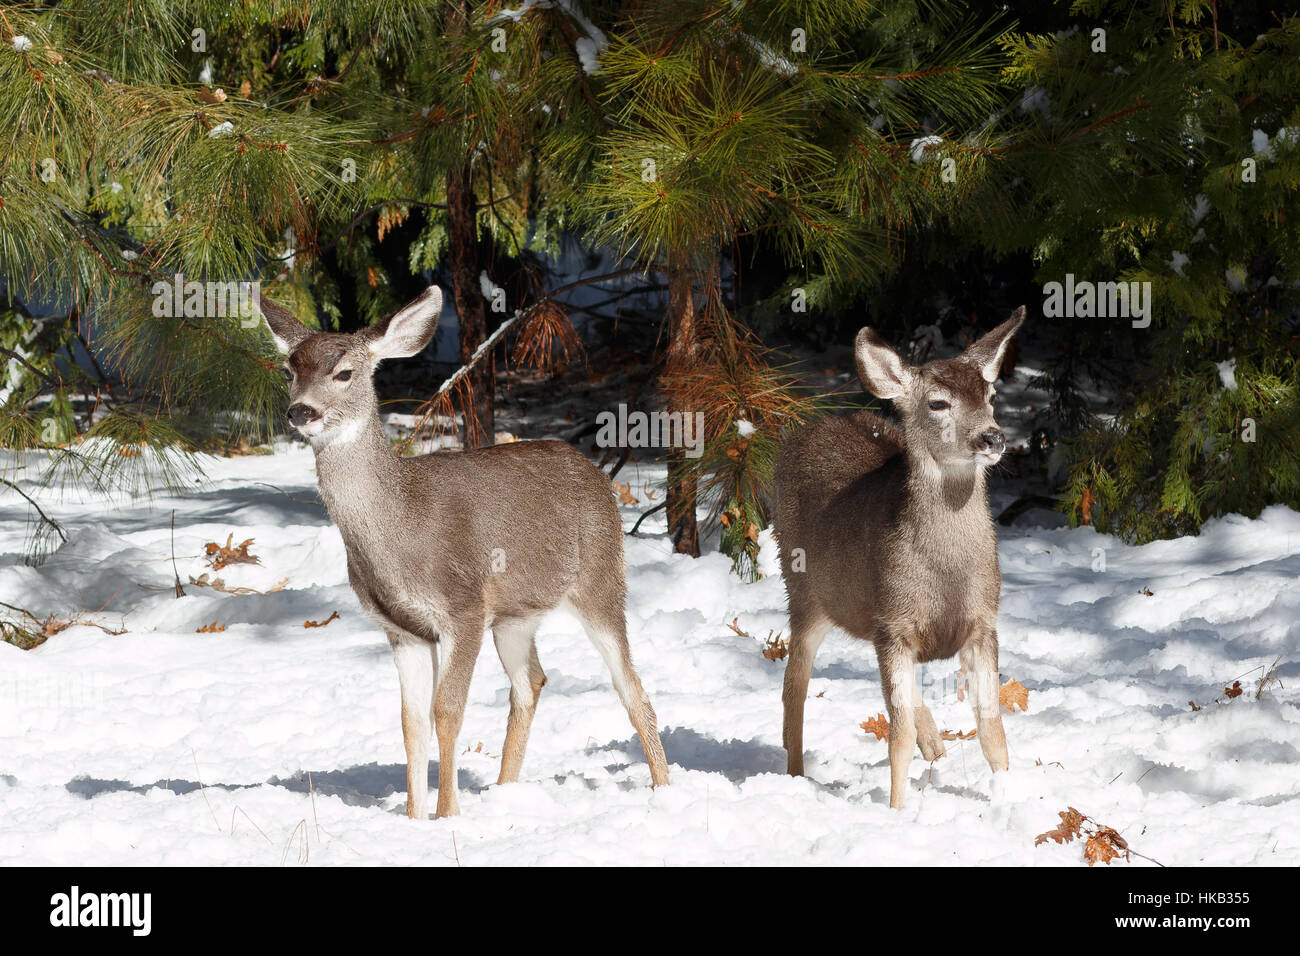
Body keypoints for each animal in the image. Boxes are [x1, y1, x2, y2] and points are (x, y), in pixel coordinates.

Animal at [259, 286, 670, 819]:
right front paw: (414, 818)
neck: (400, 534)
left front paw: (447, 814)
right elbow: (411, 722)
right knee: (530, 683)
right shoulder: (403, 630)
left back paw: (665, 790)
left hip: (600, 579)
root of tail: (597, 473)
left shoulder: (464, 608)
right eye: (289, 370)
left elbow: (446, 710)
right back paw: (505, 792)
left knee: (631, 687)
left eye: (344, 372)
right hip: (515, 616)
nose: (300, 412)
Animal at [772, 306, 1026, 809]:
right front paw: (896, 811)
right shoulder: (894, 624)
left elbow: (993, 730)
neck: (946, 575)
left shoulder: (982, 623)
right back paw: (794, 774)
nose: (993, 438)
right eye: (939, 404)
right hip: (804, 591)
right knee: (794, 684)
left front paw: (1009, 799)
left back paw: (937, 746)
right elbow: (898, 737)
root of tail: (804, 431)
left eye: (990, 395)